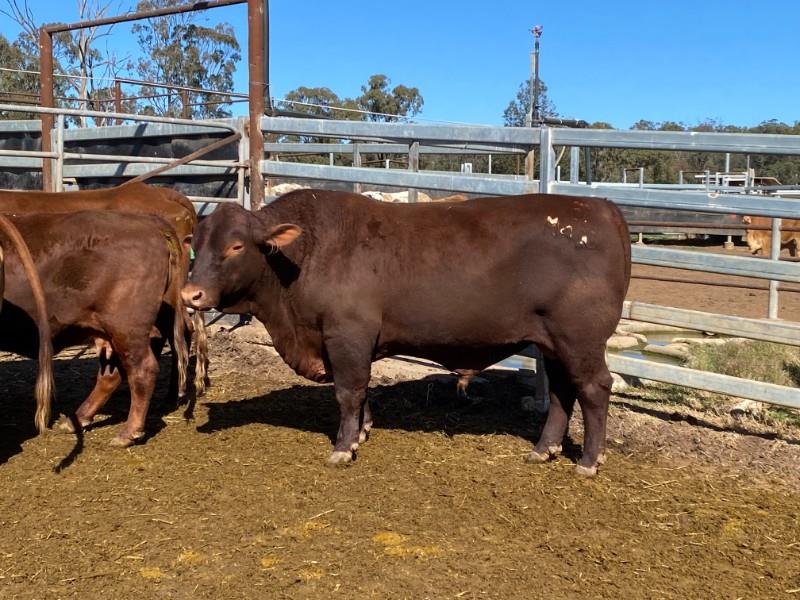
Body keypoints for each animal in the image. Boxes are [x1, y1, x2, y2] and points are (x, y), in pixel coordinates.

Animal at [0, 210, 188, 446]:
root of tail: (149, 221)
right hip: (112, 332)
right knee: (112, 373)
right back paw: (78, 419)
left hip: (127, 328)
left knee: (142, 370)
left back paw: (129, 432)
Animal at [182, 190, 631, 476]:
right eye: (195, 246)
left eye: (237, 246)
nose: (190, 293)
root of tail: (603, 208)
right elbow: (361, 391)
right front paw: (361, 432)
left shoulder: (347, 336)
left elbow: (348, 391)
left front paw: (342, 447)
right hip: (552, 342)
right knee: (561, 391)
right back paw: (544, 450)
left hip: (580, 339)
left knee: (594, 388)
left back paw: (589, 461)